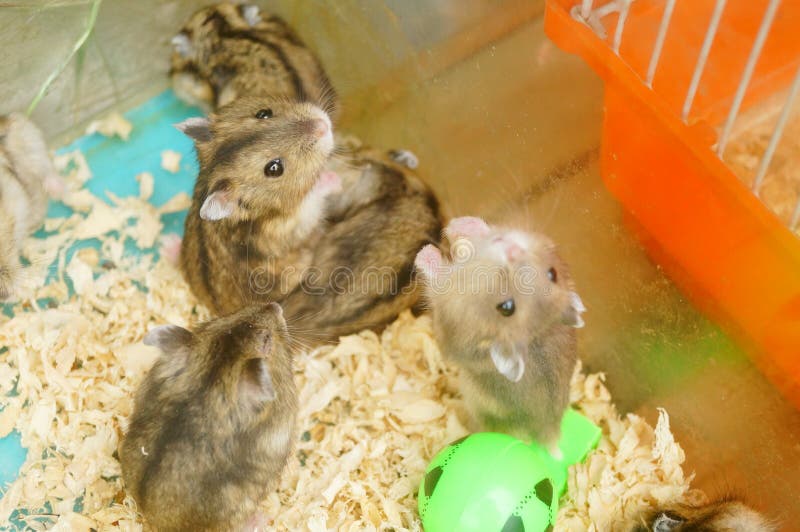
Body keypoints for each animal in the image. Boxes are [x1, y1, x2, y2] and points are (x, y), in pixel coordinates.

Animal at [179, 95, 338, 312]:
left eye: (263, 113)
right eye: (274, 168)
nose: (324, 125)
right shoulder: (293, 222)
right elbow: (315, 196)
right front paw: (334, 179)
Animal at [414, 216, 585, 455]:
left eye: (506, 308)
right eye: (552, 273)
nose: (513, 250)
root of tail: (549, 438)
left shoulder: (444, 309)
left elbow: (437, 279)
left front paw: (425, 252)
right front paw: (461, 225)